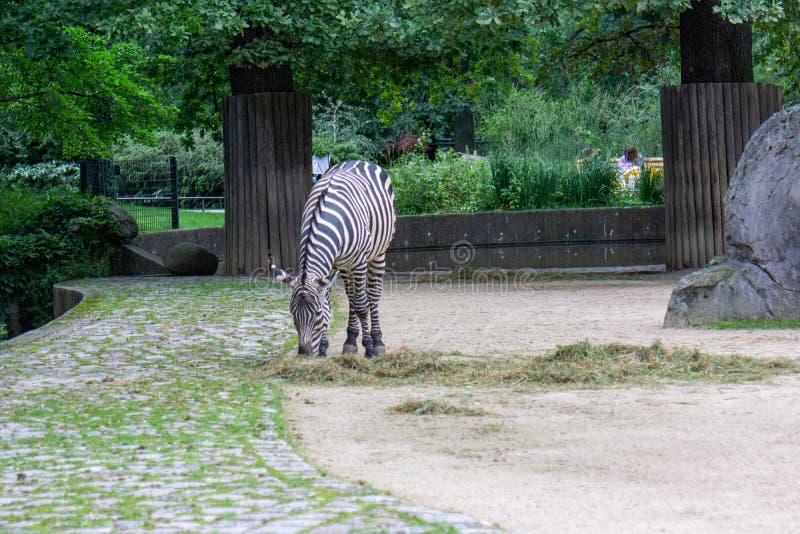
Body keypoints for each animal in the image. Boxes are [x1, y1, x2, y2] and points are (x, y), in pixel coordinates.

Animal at [272, 160, 396, 357]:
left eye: (316, 314)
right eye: (292, 313)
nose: (304, 353)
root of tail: (358, 161)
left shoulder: (359, 263)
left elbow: (362, 306)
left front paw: (369, 348)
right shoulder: (329, 267)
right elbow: (330, 305)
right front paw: (323, 348)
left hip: (378, 253)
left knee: (372, 296)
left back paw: (377, 342)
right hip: (344, 266)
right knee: (352, 296)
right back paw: (350, 341)